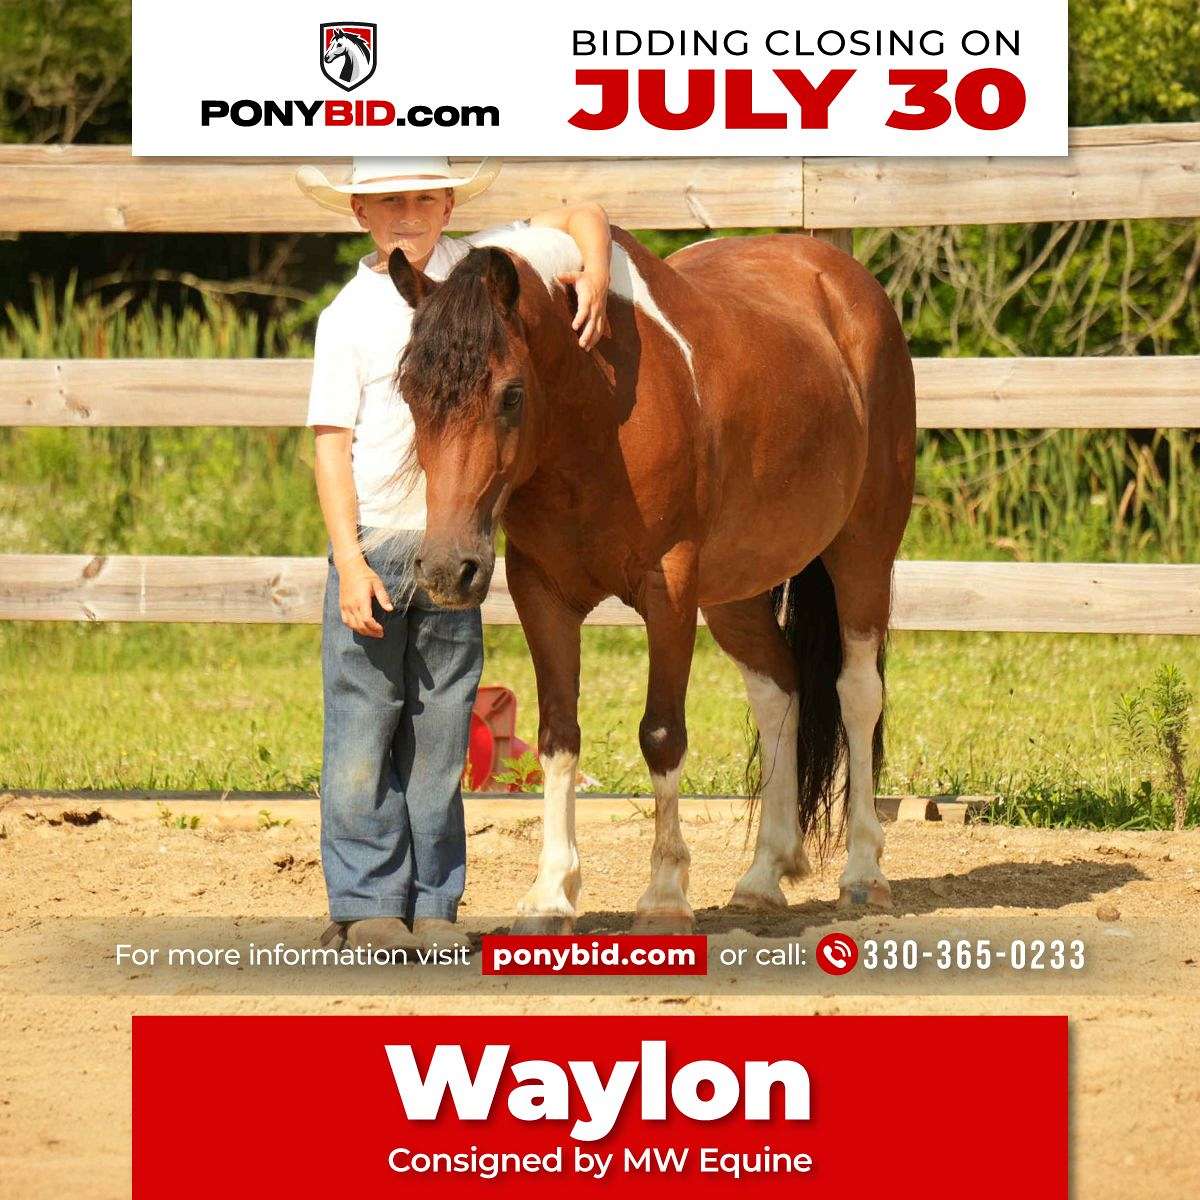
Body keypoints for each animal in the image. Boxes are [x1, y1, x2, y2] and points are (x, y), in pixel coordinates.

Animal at [387, 223, 916, 933]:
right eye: (411, 393)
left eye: (511, 394)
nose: (448, 569)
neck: (597, 418)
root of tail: (845, 281)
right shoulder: (541, 594)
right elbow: (559, 735)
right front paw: (551, 895)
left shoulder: (669, 590)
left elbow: (661, 735)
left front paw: (664, 895)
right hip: (736, 592)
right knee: (778, 689)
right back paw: (763, 874)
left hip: (862, 552)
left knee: (857, 693)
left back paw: (863, 872)